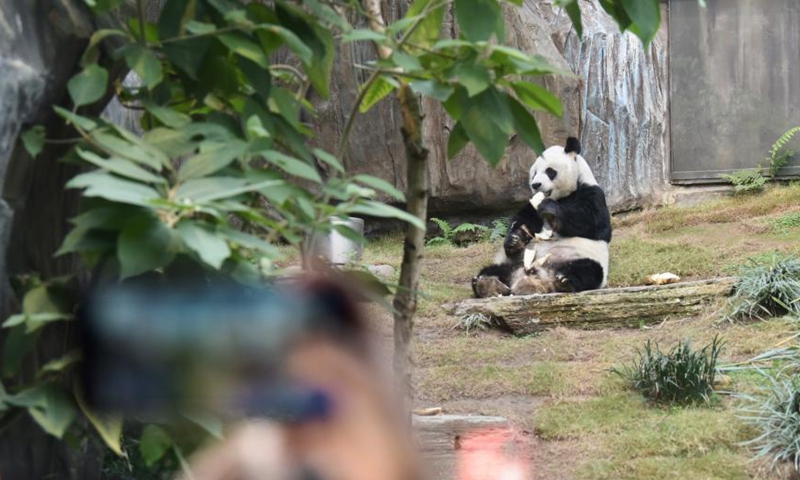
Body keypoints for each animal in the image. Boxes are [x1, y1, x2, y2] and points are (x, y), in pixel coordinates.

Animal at [472, 137, 612, 298]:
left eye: (549, 171)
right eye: (534, 173)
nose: (536, 184)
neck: (561, 197)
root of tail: (540, 276)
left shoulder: (592, 193)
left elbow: (594, 224)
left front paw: (551, 209)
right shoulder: (532, 205)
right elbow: (524, 220)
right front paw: (514, 240)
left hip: (581, 258)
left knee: (588, 270)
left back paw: (565, 281)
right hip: (513, 263)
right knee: (493, 270)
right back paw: (487, 283)